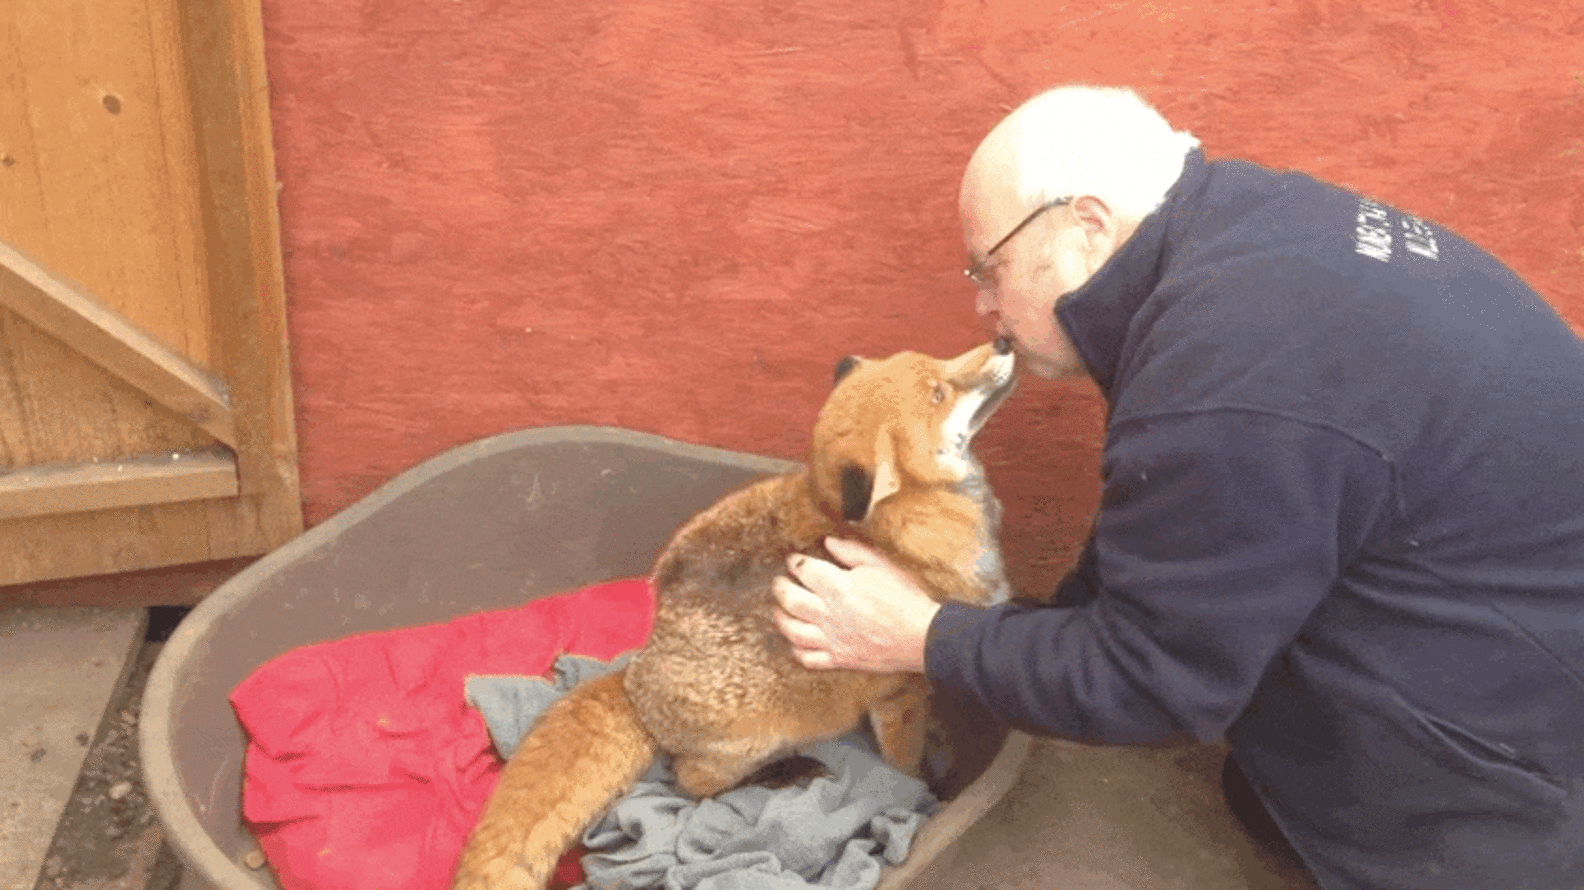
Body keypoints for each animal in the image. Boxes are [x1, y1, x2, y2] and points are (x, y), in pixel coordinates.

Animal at [451, 339, 1018, 890]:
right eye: (940, 392)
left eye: (938, 361)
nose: (1005, 341)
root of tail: (636, 677)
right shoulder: (897, 692)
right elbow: (909, 768)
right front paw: (929, 793)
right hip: (752, 740)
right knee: (690, 785)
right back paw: (781, 773)